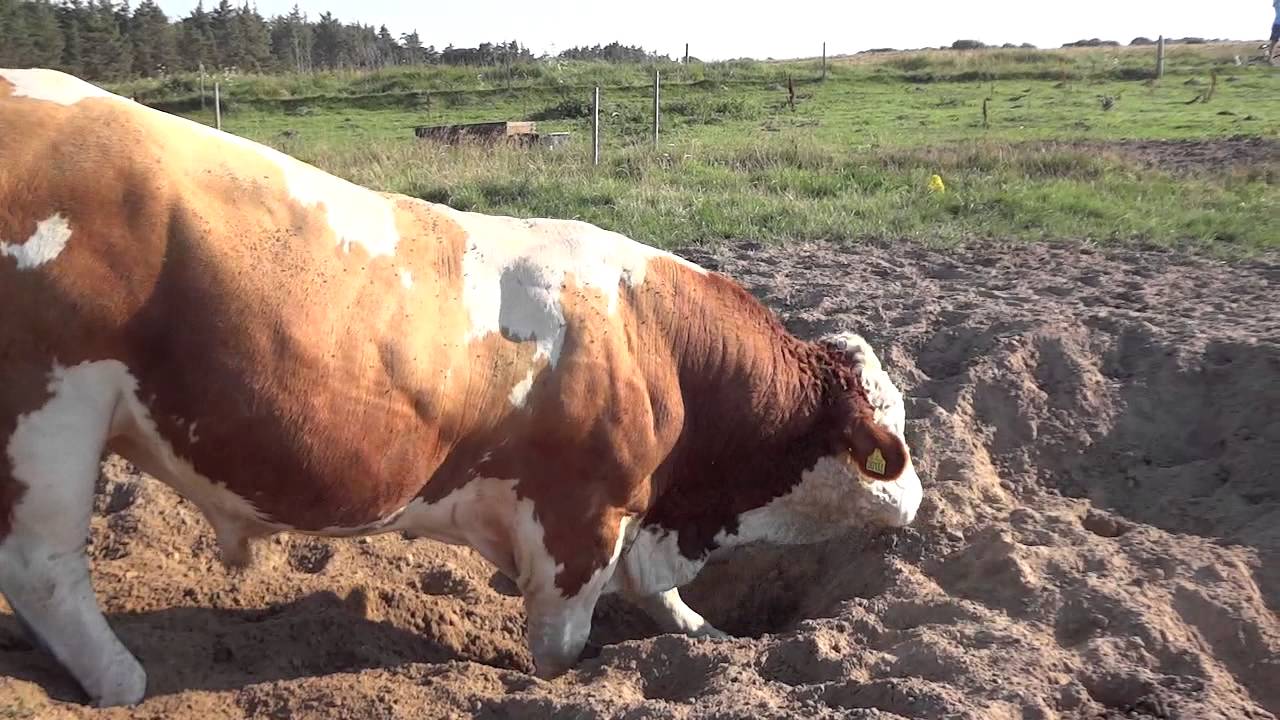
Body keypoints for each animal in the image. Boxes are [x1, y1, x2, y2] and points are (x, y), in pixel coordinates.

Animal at [0, 68, 923, 707]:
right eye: (886, 445)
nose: (919, 500)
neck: (662, 349)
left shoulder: (636, 516)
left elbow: (660, 595)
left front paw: (708, 633)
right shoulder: (580, 519)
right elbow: (562, 644)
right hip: (51, 416)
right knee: (42, 567)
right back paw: (121, 680)